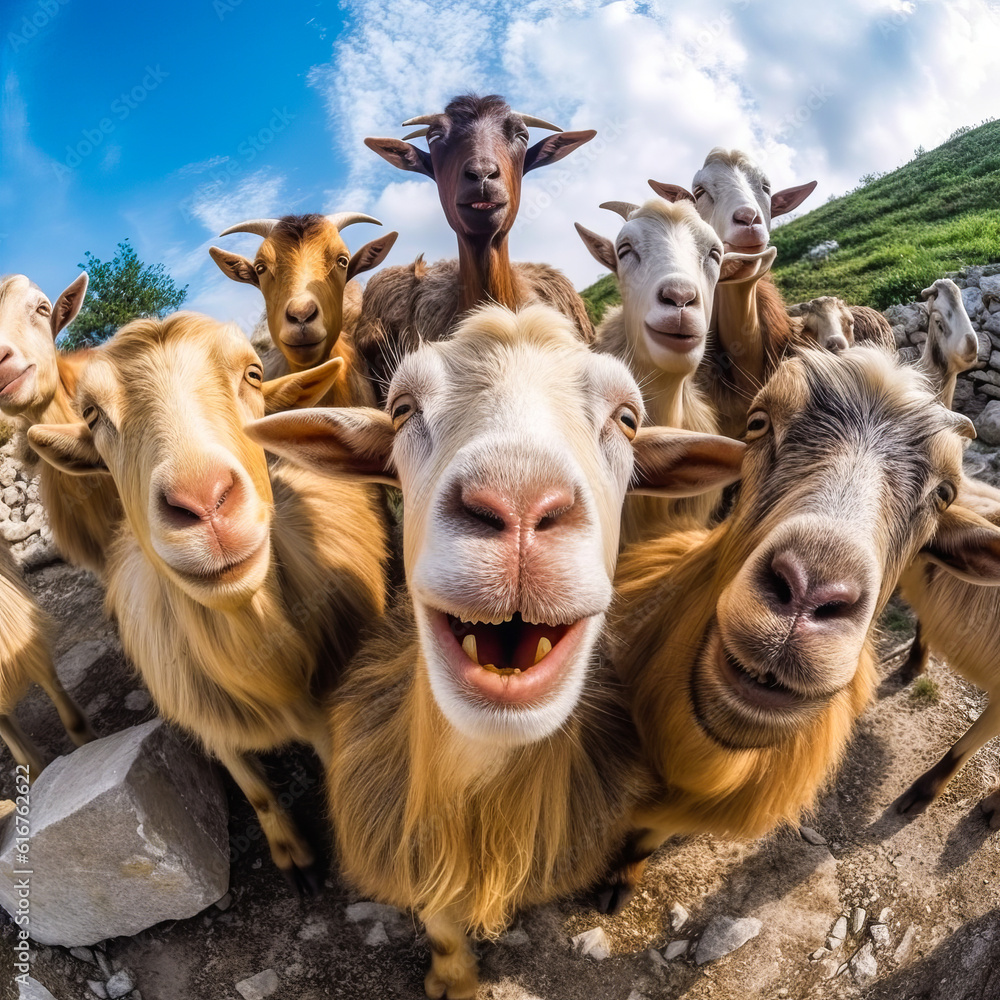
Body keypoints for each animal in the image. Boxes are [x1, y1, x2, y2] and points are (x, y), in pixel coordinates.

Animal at [27, 312, 389, 890]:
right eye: (91, 413)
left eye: (253, 374)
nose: (203, 501)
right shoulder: (207, 720)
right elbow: (256, 789)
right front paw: (294, 856)